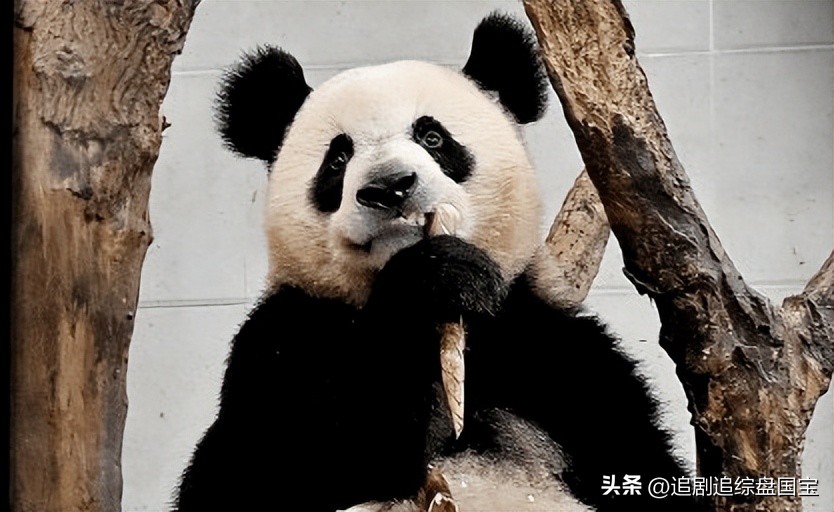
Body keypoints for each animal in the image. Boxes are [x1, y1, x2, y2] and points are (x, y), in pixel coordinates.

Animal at [174, 13, 703, 512]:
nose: (390, 188)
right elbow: (258, 468)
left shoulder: (558, 356)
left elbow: (641, 457)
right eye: (338, 158)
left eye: (432, 137)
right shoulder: (281, 341)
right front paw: (431, 281)